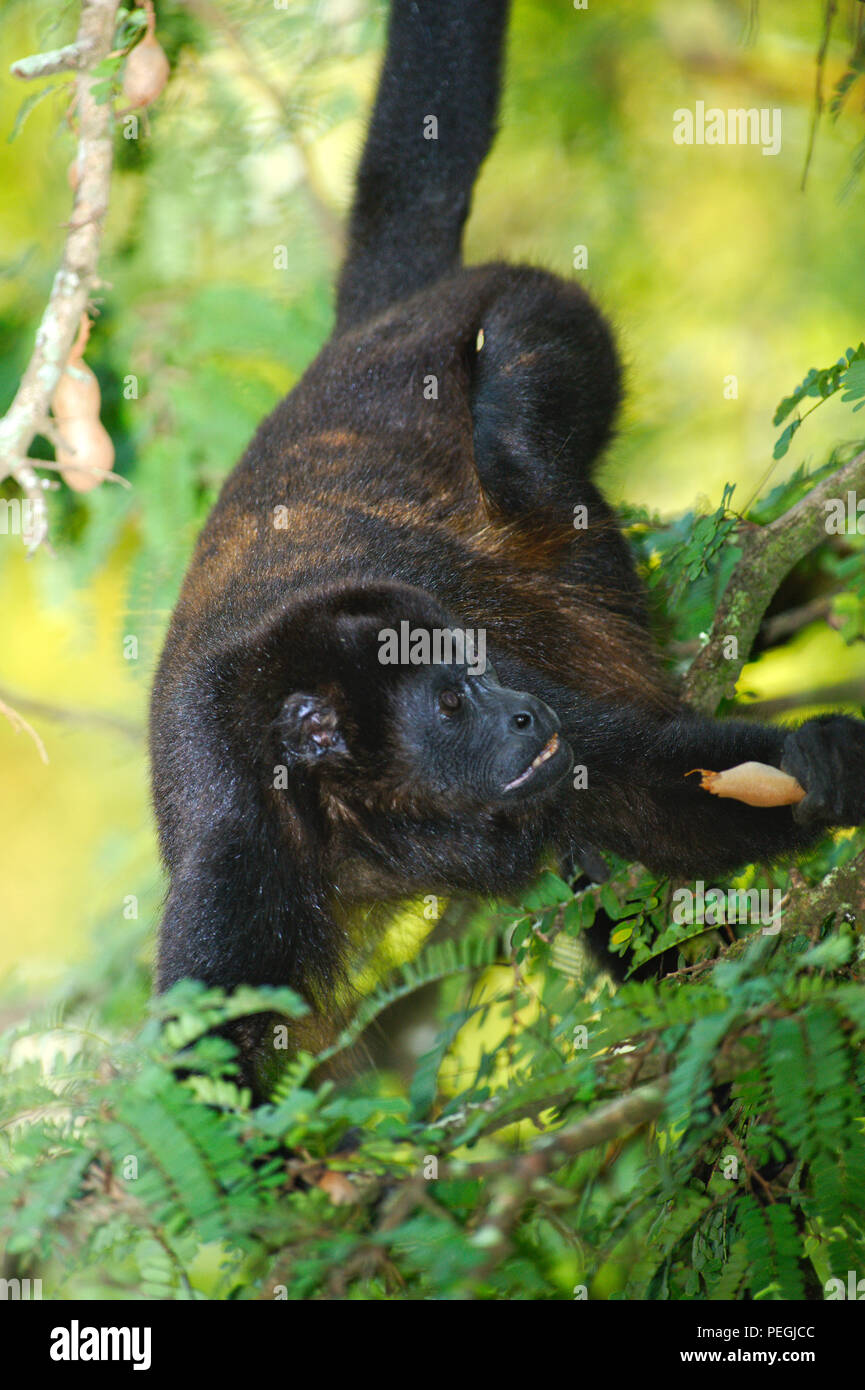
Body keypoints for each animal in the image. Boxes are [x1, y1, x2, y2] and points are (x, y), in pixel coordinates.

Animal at [150, 0, 865, 1081]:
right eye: (449, 700)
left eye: (479, 667)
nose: (526, 714)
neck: (359, 811)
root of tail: (361, 334)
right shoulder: (234, 849)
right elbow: (203, 1070)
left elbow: (646, 781)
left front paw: (821, 755)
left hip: (532, 299)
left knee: (518, 451)